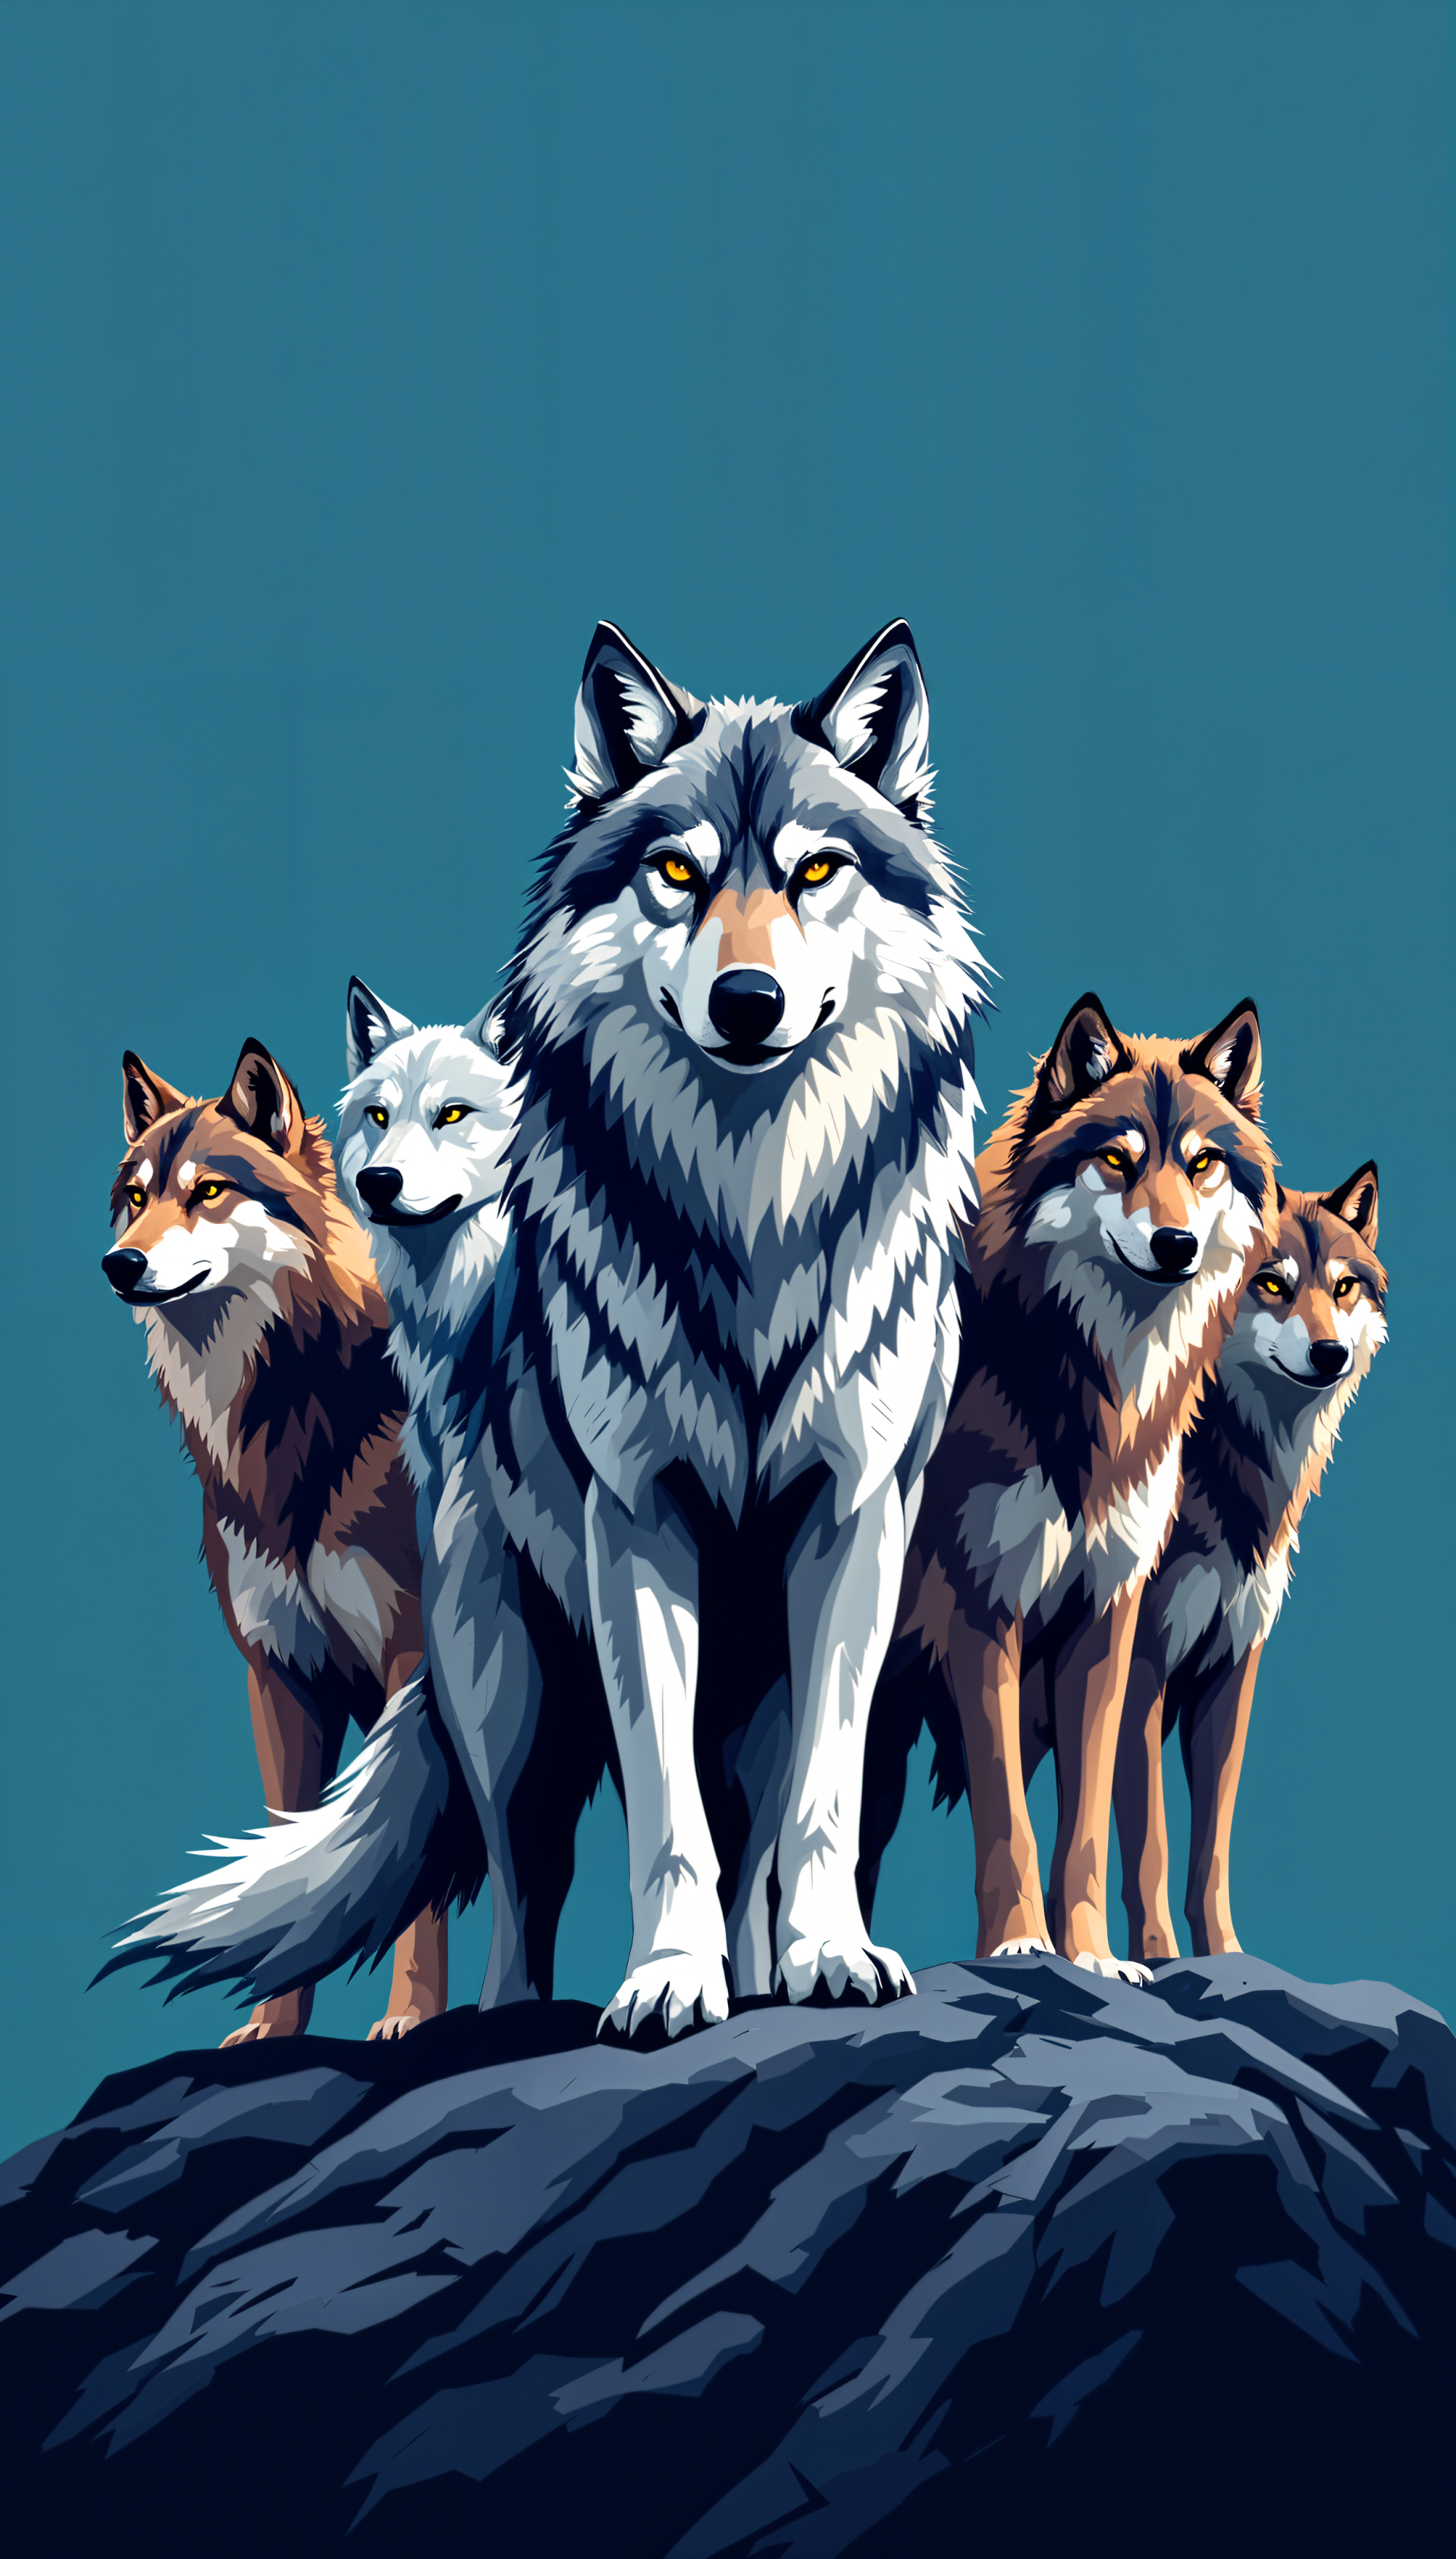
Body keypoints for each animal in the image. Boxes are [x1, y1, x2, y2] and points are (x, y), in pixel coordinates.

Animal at [98, 1039, 448, 2039]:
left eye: (209, 1190)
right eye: (135, 1196)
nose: (118, 1263)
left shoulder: (413, 1657)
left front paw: (412, 2016)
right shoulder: (280, 1672)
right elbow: (293, 1852)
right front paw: (273, 2028)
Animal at [889, 993, 1280, 1979]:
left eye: (1203, 1163)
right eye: (1116, 1158)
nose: (1176, 1243)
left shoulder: (1107, 1620)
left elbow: (1089, 1828)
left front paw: (1097, 1957)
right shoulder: (982, 1609)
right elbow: (1009, 1820)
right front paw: (1022, 1943)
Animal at [1112, 1165, 1387, 1961]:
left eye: (1343, 1287)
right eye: (1271, 1284)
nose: (1330, 1356)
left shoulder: (1231, 1672)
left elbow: (1211, 1848)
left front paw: (1225, 1957)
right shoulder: (1139, 1667)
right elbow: (1150, 1841)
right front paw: (1155, 1957)